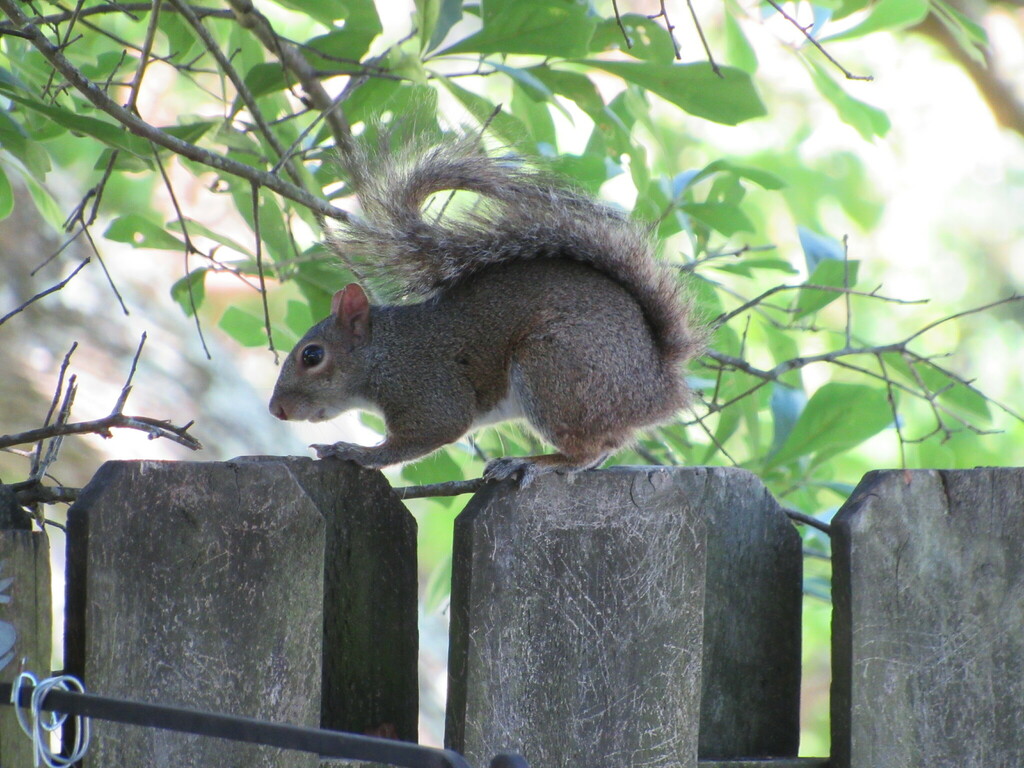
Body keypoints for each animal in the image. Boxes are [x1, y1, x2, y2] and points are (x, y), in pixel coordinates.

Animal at [268, 138, 704, 485]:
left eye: (312, 355)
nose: (277, 410)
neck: (385, 353)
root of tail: (658, 383)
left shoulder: (428, 390)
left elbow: (430, 432)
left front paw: (354, 452)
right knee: (606, 445)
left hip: (556, 368)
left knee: (585, 452)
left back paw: (532, 463)